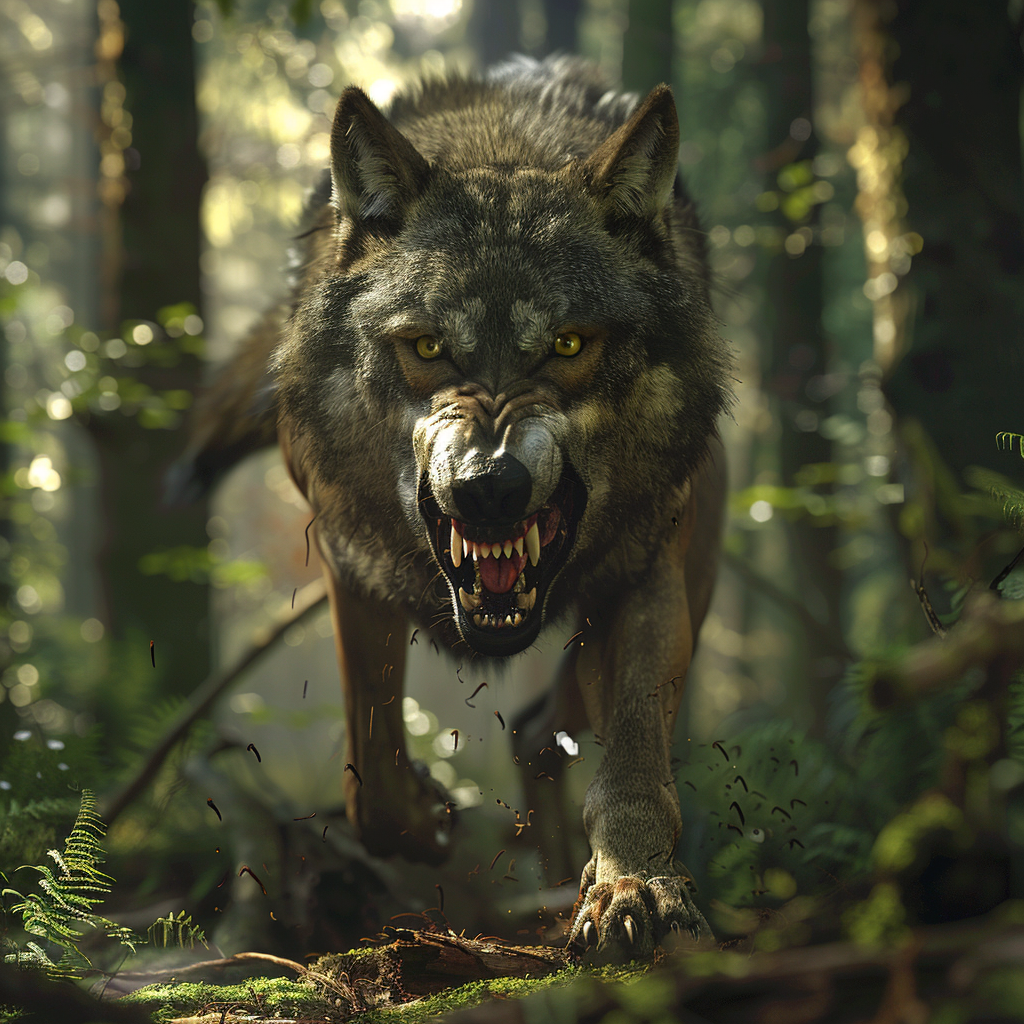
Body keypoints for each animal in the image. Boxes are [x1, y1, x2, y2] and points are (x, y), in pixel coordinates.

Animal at [181, 55, 732, 959]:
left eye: (569, 345)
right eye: (428, 347)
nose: (489, 487)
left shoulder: (649, 573)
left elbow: (635, 766)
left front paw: (635, 885)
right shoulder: (352, 562)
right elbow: (370, 775)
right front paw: (432, 820)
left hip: (682, 580)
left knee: (540, 732)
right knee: (532, 734)